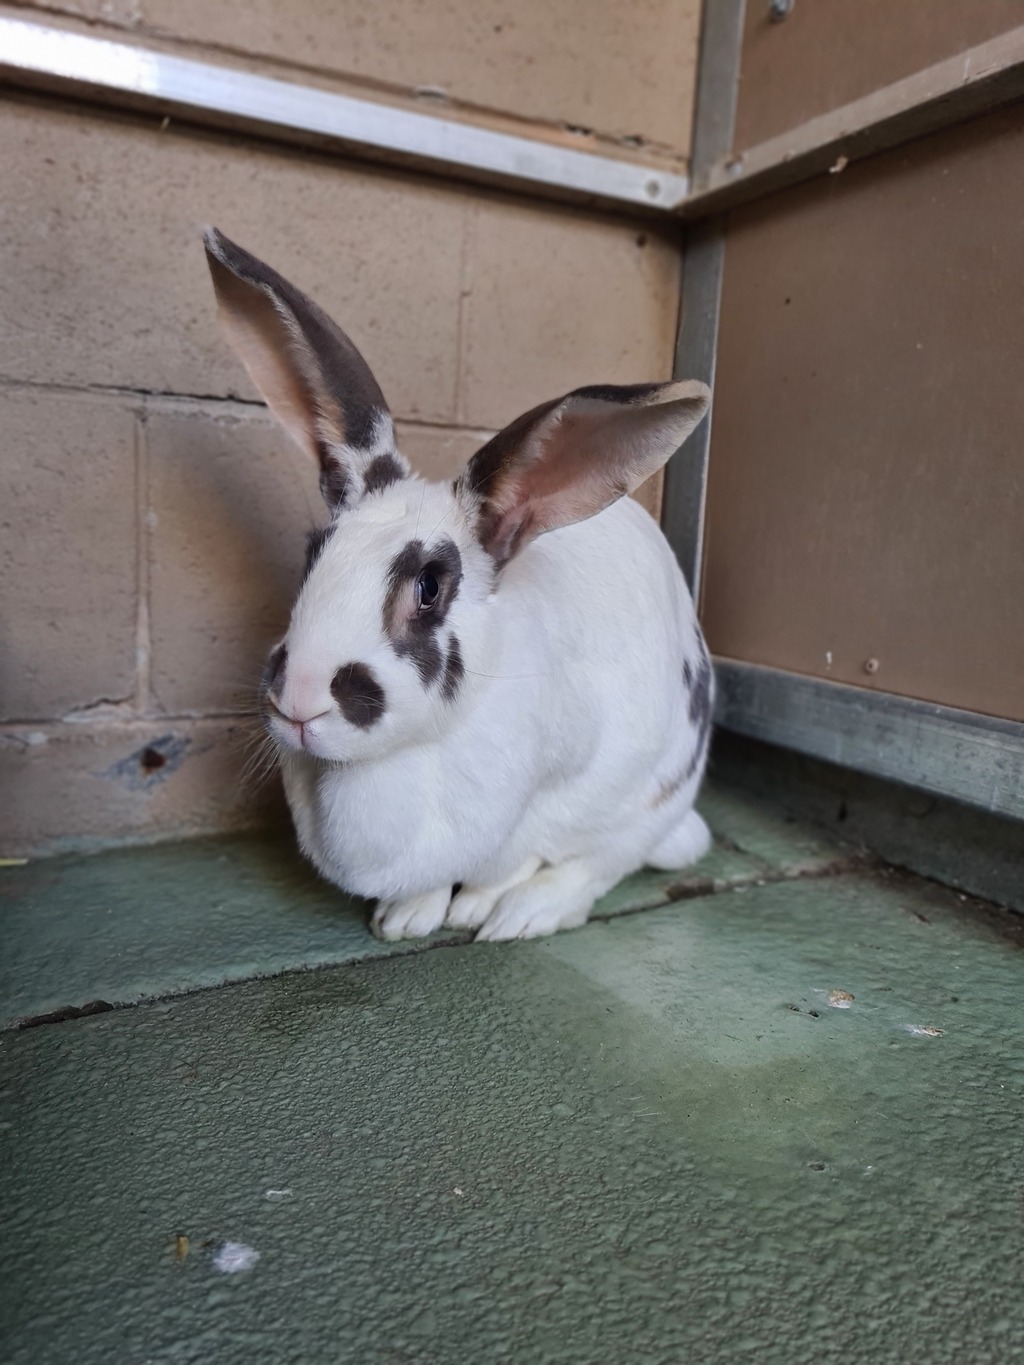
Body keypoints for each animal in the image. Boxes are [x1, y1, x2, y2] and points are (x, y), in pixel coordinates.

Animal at [204, 228, 715, 942]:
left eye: (429, 588)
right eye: (311, 556)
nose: (299, 699)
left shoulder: (563, 778)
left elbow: (520, 857)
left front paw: (478, 906)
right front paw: (405, 917)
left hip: (651, 795)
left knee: (601, 863)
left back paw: (522, 915)